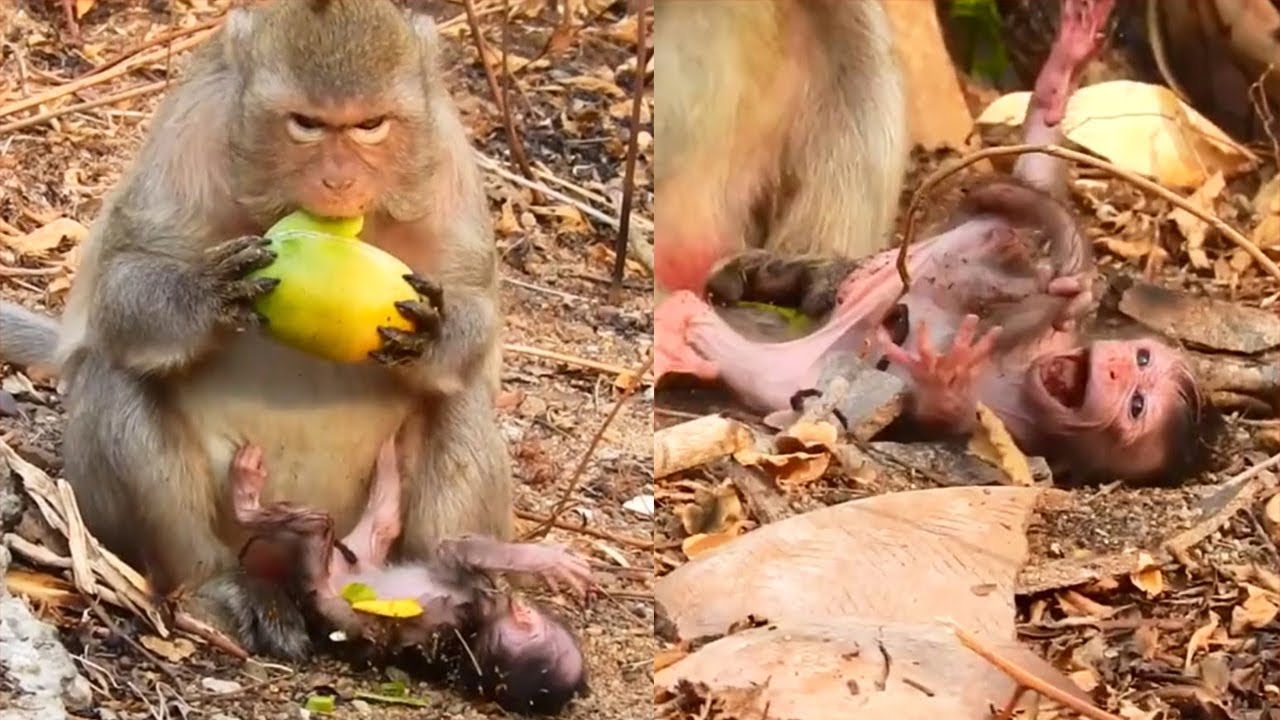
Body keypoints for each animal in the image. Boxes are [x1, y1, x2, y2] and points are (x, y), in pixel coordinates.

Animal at [0, 0, 512, 659]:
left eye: (370, 125)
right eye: (307, 124)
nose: (339, 180)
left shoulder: (448, 164)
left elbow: (476, 310)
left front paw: (437, 331)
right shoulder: (192, 135)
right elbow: (123, 281)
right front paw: (206, 296)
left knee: (459, 401)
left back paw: (428, 608)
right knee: (118, 377)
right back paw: (215, 585)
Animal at [230, 438, 590, 716]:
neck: (477, 636)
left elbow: (454, 550)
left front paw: (545, 560)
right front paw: (549, 561)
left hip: (327, 575)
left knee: (326, 525)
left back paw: (247, 497)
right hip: (355, 565)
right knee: (378, 526)